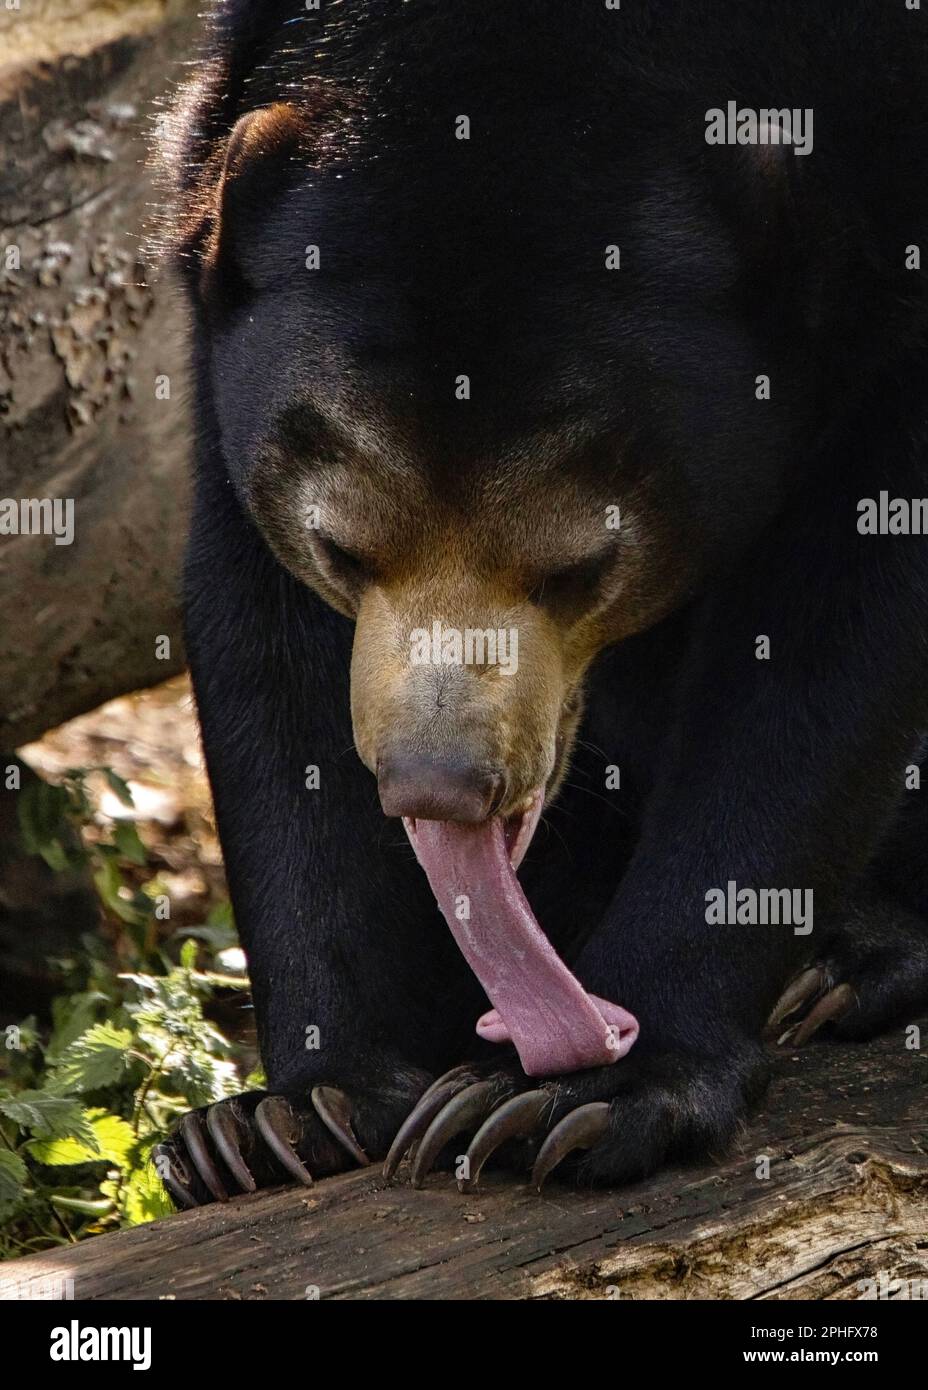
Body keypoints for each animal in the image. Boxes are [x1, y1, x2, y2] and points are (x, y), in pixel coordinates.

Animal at [153, 0, 928, 1205]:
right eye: (342, 545)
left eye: (581, 567)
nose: (438, 785)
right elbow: (260, 638)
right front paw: (289, 1112)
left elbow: (836, 642)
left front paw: (579, 1092)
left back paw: (857, 960)